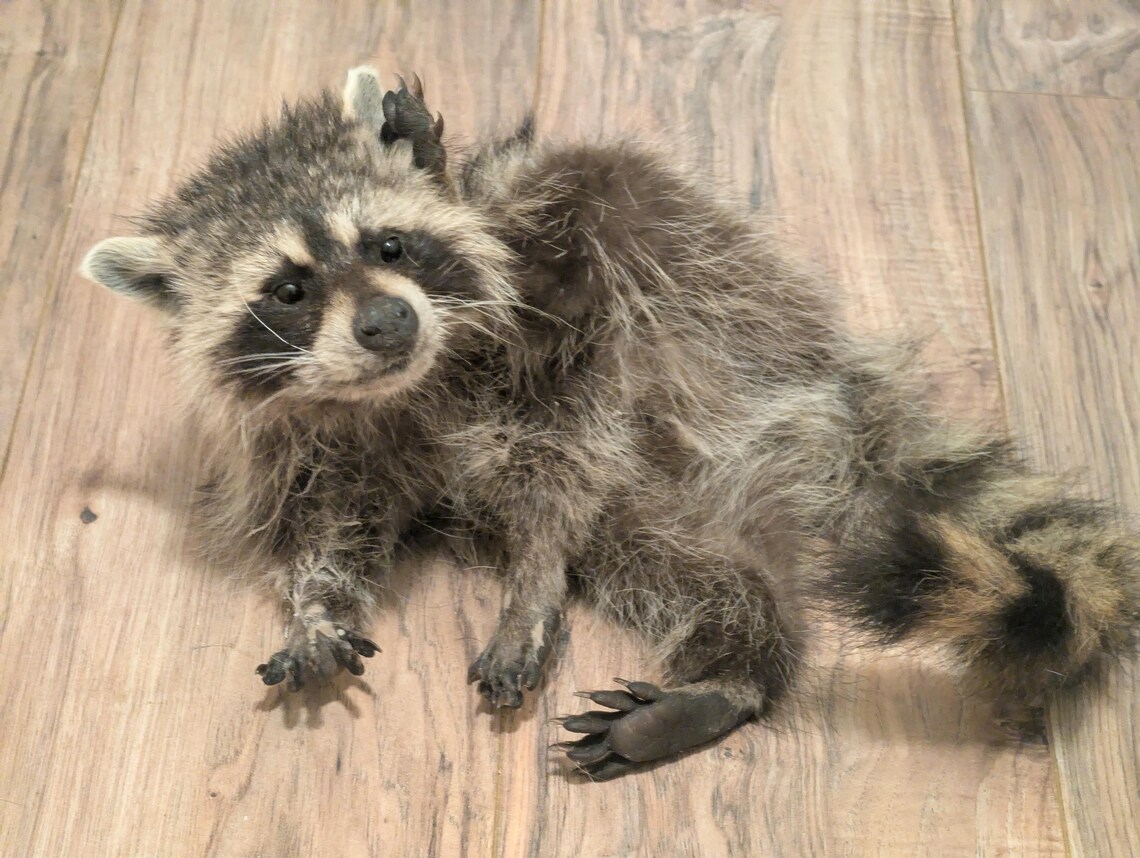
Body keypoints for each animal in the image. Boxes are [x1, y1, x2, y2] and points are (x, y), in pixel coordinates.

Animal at [80, 68, 1139, 780]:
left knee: (592, 199)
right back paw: (744, 657)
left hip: (716, 323)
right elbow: (330, 522)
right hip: (681, 487)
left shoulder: (552, 360)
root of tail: (838, 383)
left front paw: (532, 578)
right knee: (697, 566)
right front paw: (315, 600)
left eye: (390, 246)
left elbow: (554, 441)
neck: (407, 390)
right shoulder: (318, 439)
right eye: (289, 290)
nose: (388, 323)